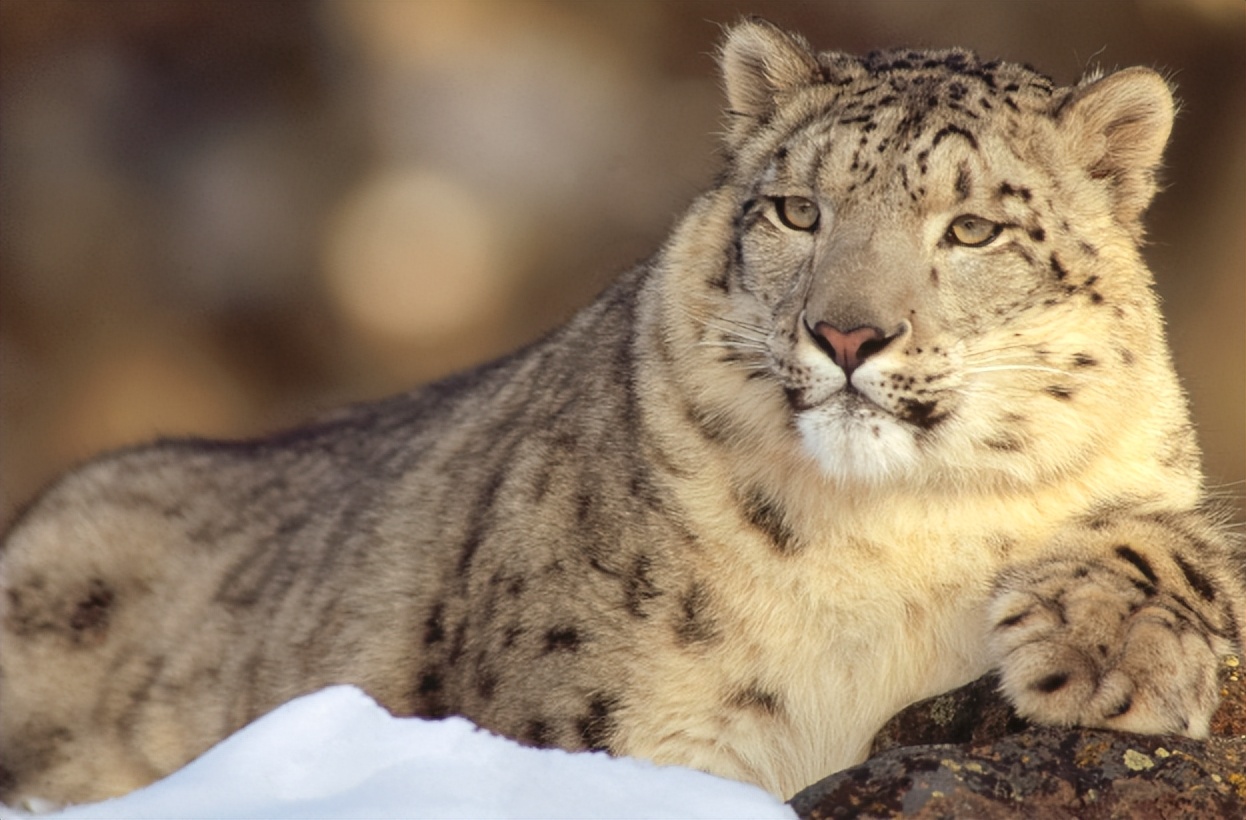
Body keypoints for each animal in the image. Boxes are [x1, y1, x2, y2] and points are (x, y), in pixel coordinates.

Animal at [2, 18, 1242, 806]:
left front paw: (1100, 655)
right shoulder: (607, 728)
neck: (891, 538)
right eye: (796, 210)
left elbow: (1190, 545)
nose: (845, 335)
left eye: (973, 228)